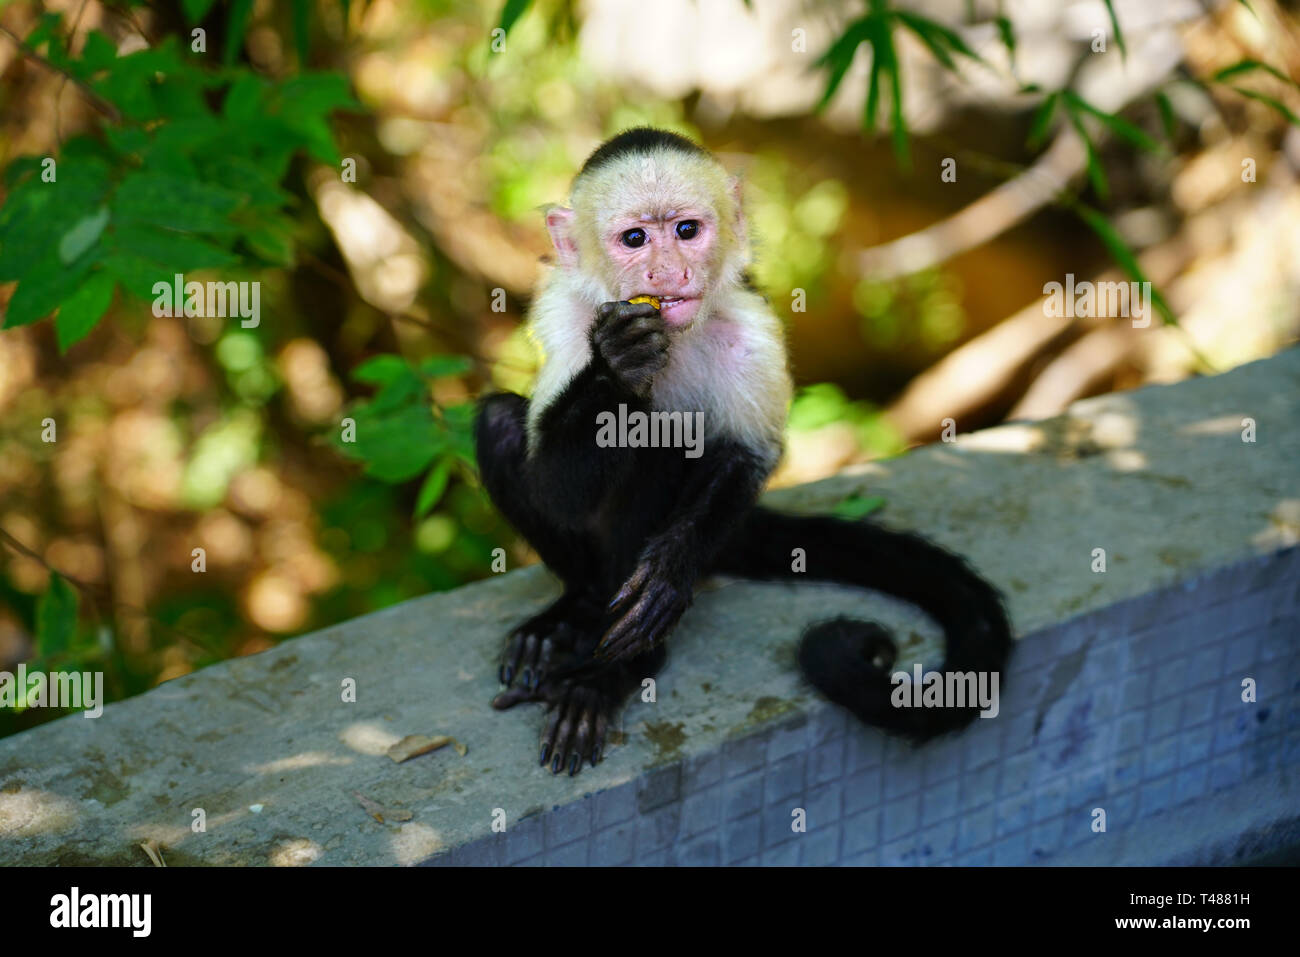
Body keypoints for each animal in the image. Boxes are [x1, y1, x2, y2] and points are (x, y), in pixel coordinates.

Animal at [475, 127, 1012, 776]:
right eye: (635, 239)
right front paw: (617, 367)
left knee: (668, 442)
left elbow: (748, 455)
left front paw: (667, 576)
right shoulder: (564, 313)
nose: (669, 270)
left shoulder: (753, 327)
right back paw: (574, 614)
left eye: (687, 230)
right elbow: (554, 487)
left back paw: (614, 671)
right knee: (504, 425)